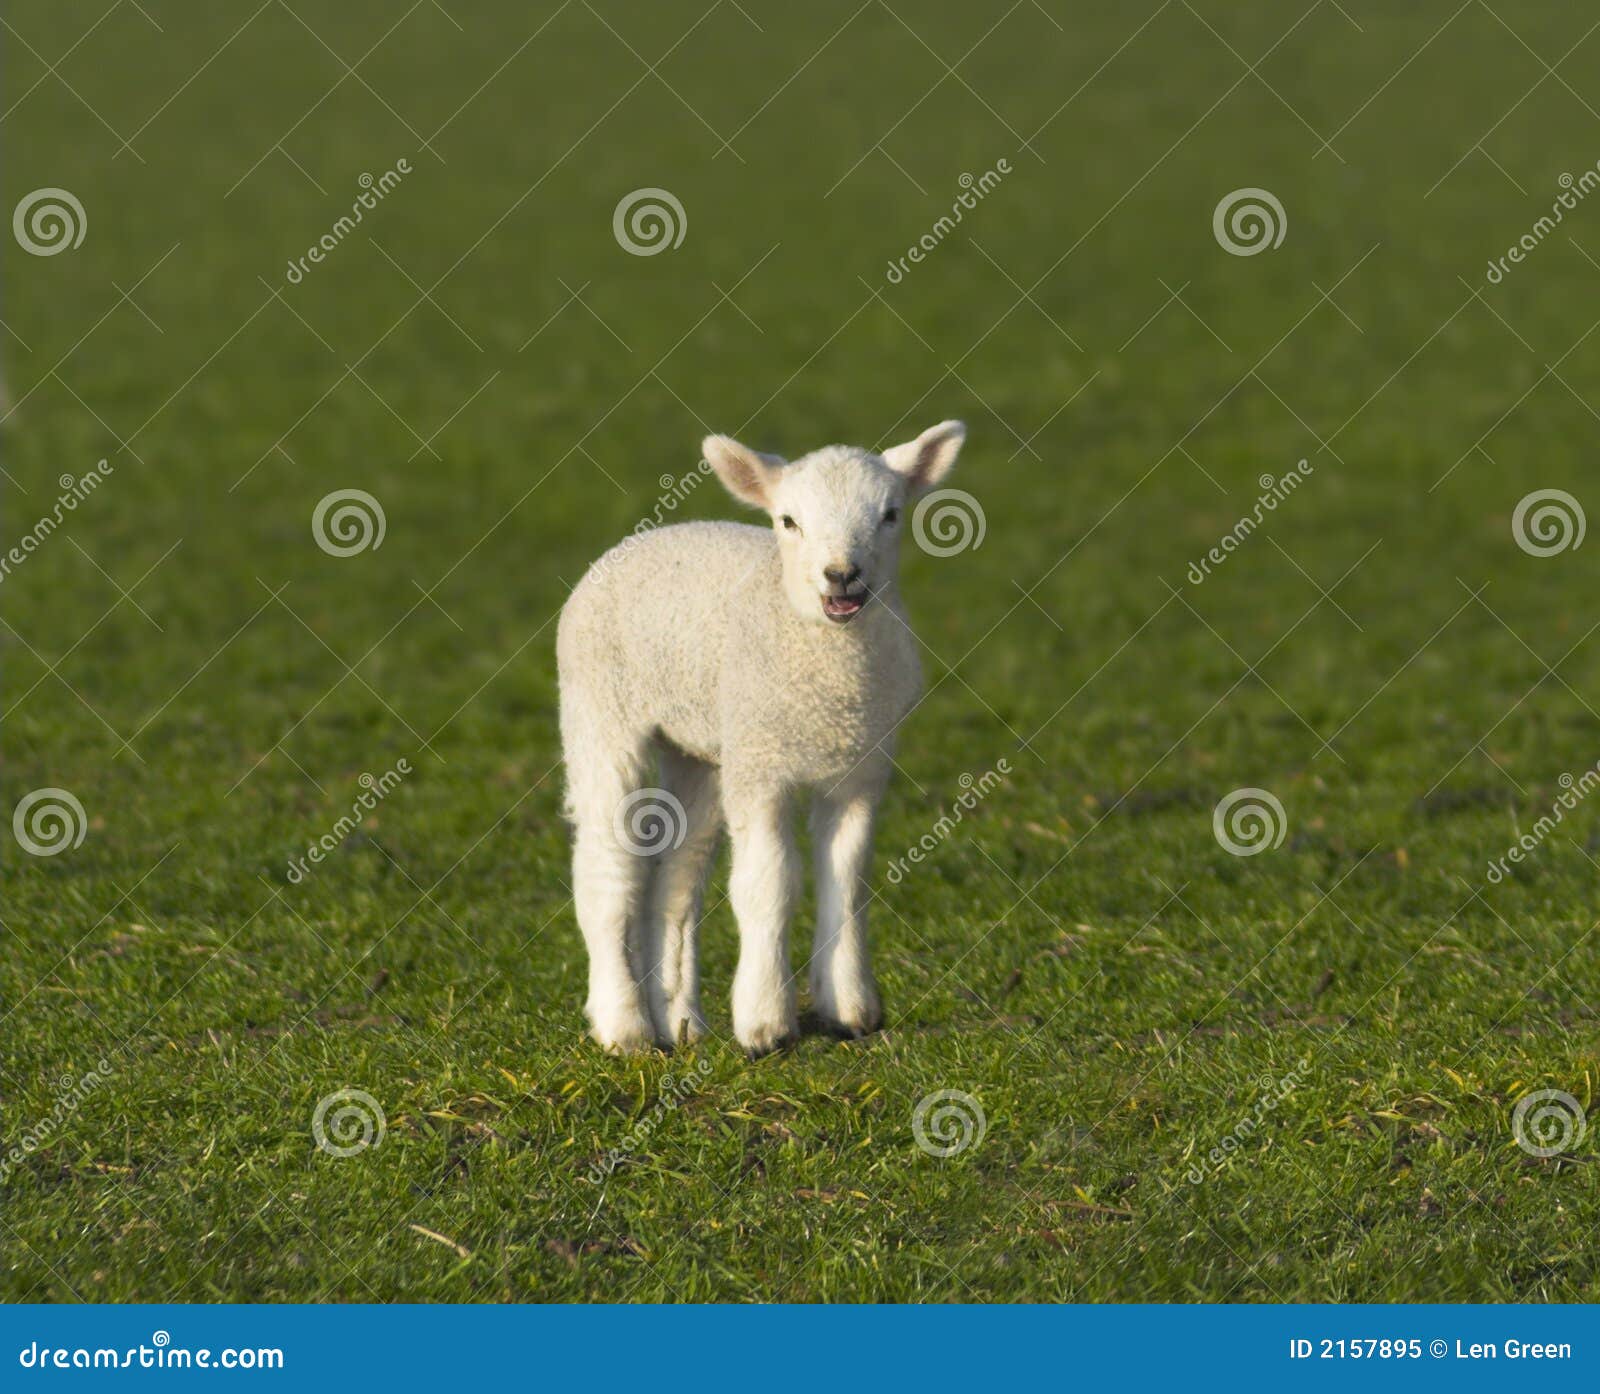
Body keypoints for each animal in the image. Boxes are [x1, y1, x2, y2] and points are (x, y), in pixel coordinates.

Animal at [557, 420, 967, 1055]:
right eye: (788, 521)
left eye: (891, 514)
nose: (841, 575)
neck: (832, 684)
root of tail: (640, 540)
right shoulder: (762, 764)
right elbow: (768, 883)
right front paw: (764, 1024)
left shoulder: (861, 768)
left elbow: (847, 878)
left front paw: (850, 1008)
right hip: (601, 708)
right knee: (606, 864)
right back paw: (624, 1026)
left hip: (700, 747)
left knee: (677, 878)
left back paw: (679, 1021)